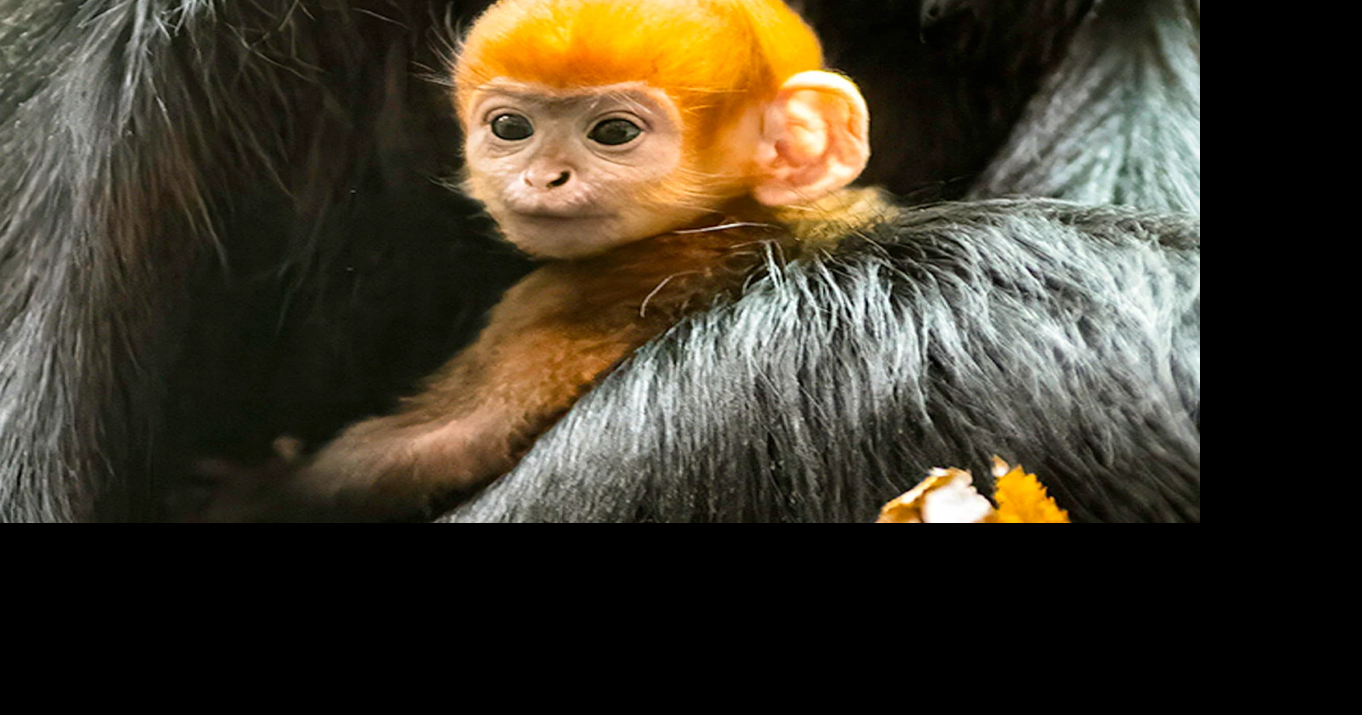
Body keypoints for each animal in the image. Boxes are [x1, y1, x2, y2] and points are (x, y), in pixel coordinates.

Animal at [189, 0, 891, 521]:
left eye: (613, 133)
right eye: (511, 128)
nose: (544, 177)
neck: (726, 218)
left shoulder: (561, 301)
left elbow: (443, 444)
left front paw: (254, 493)